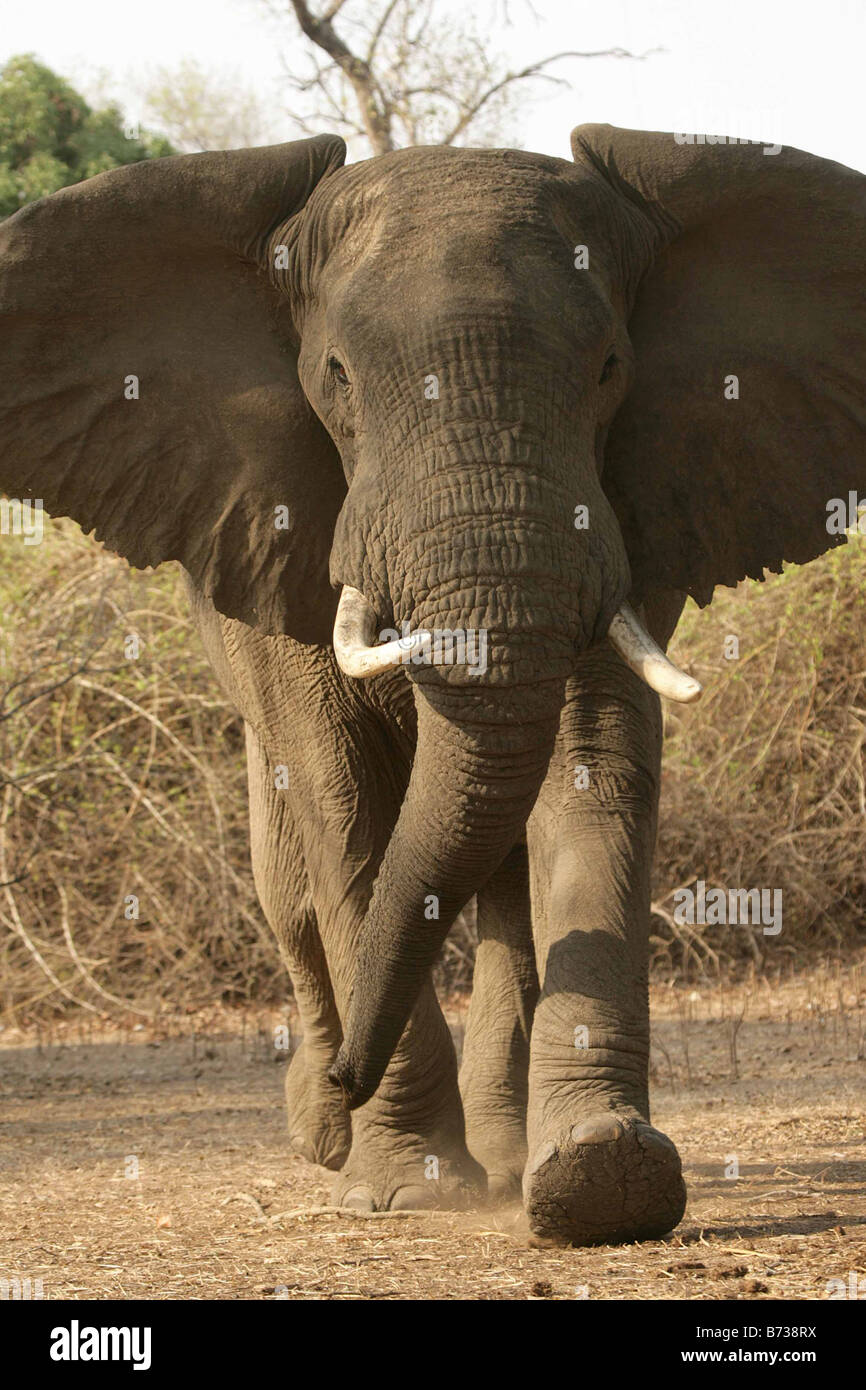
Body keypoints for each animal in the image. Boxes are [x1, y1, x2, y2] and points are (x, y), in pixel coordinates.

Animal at [1, 124, 864, 1247]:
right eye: (335, 378)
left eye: (609, 370)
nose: (347, 1072)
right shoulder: (286, 529)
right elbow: (342, 796)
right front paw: (409, 1184)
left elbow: (593, 768)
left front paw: (600, 1179)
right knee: (290, 886)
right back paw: (329, 1138)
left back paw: (490, 1149)